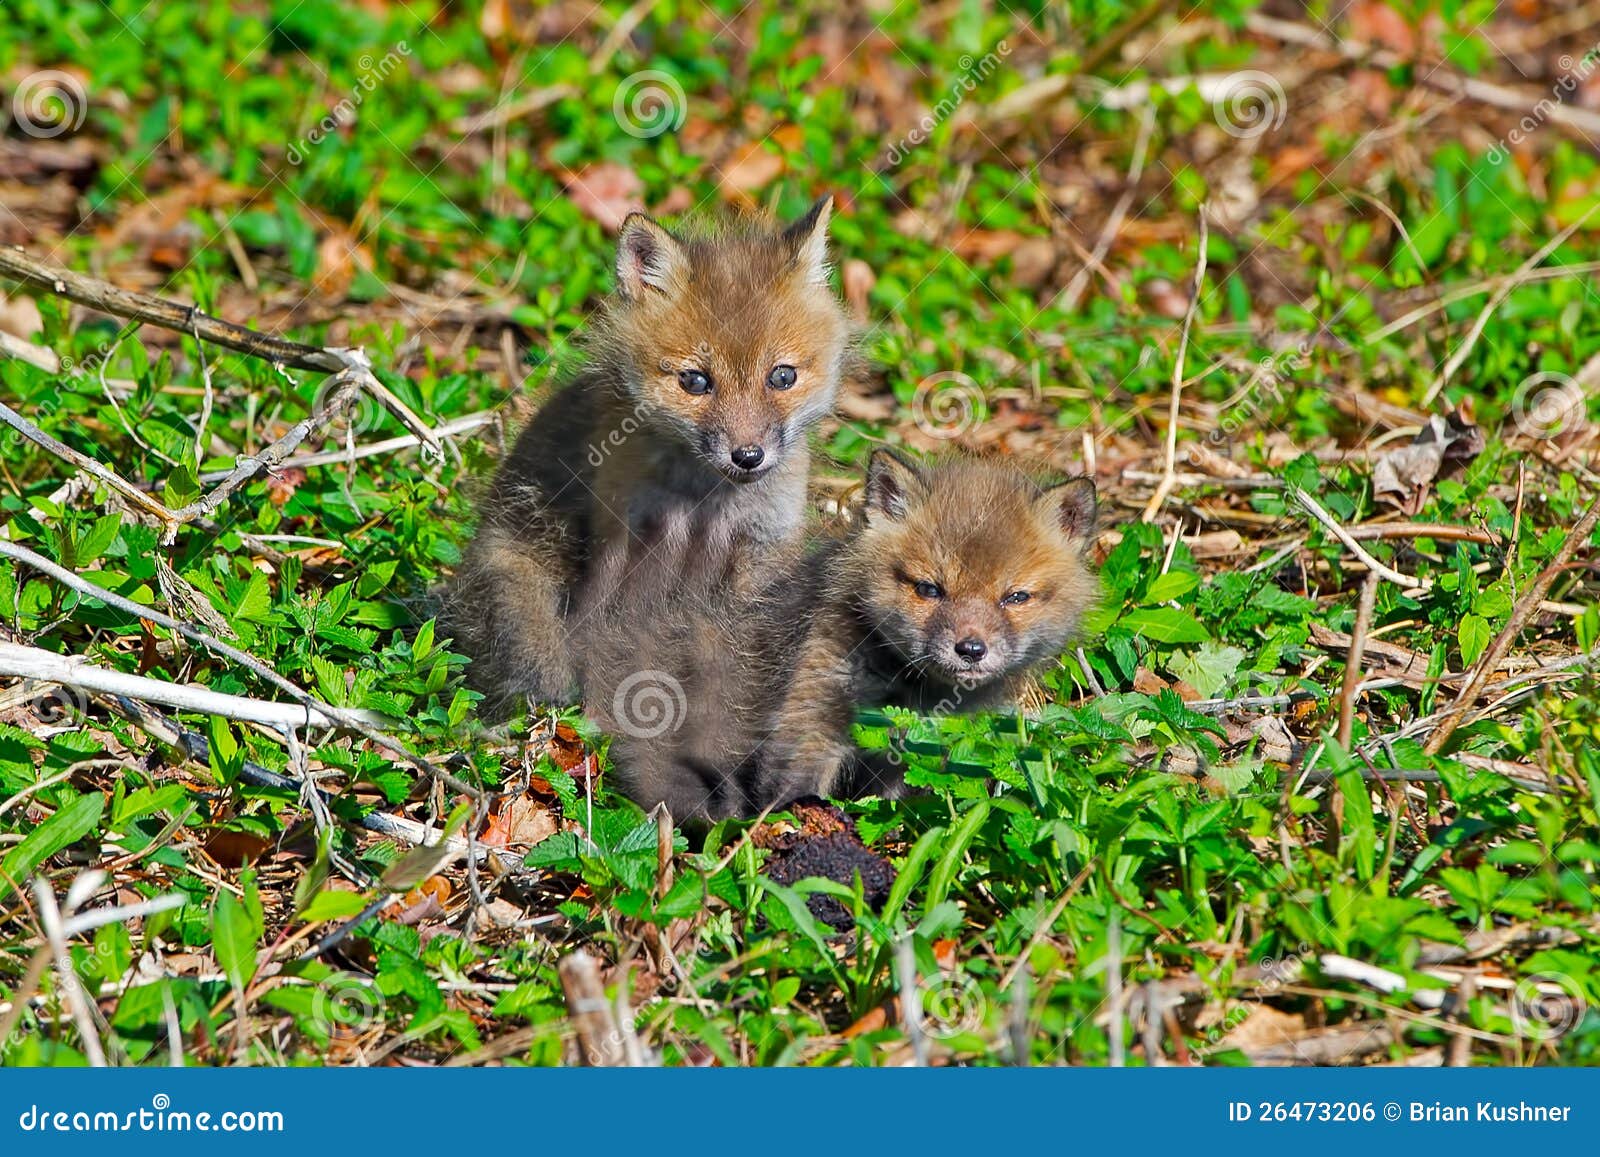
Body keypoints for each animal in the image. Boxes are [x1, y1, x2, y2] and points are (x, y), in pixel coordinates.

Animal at [448, 197, 851, 712]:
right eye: (695, 381)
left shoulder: (763, 554)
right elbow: (600, 640)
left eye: (782, 377)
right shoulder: (620, 540)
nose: (748, 456)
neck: (703, 504)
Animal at [584, 449, 1101, 821]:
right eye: (929, 589)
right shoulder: (810, 716)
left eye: (1015, 597)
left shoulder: (911, 756)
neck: (910, 691)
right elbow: (794, 791)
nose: (970, 649)